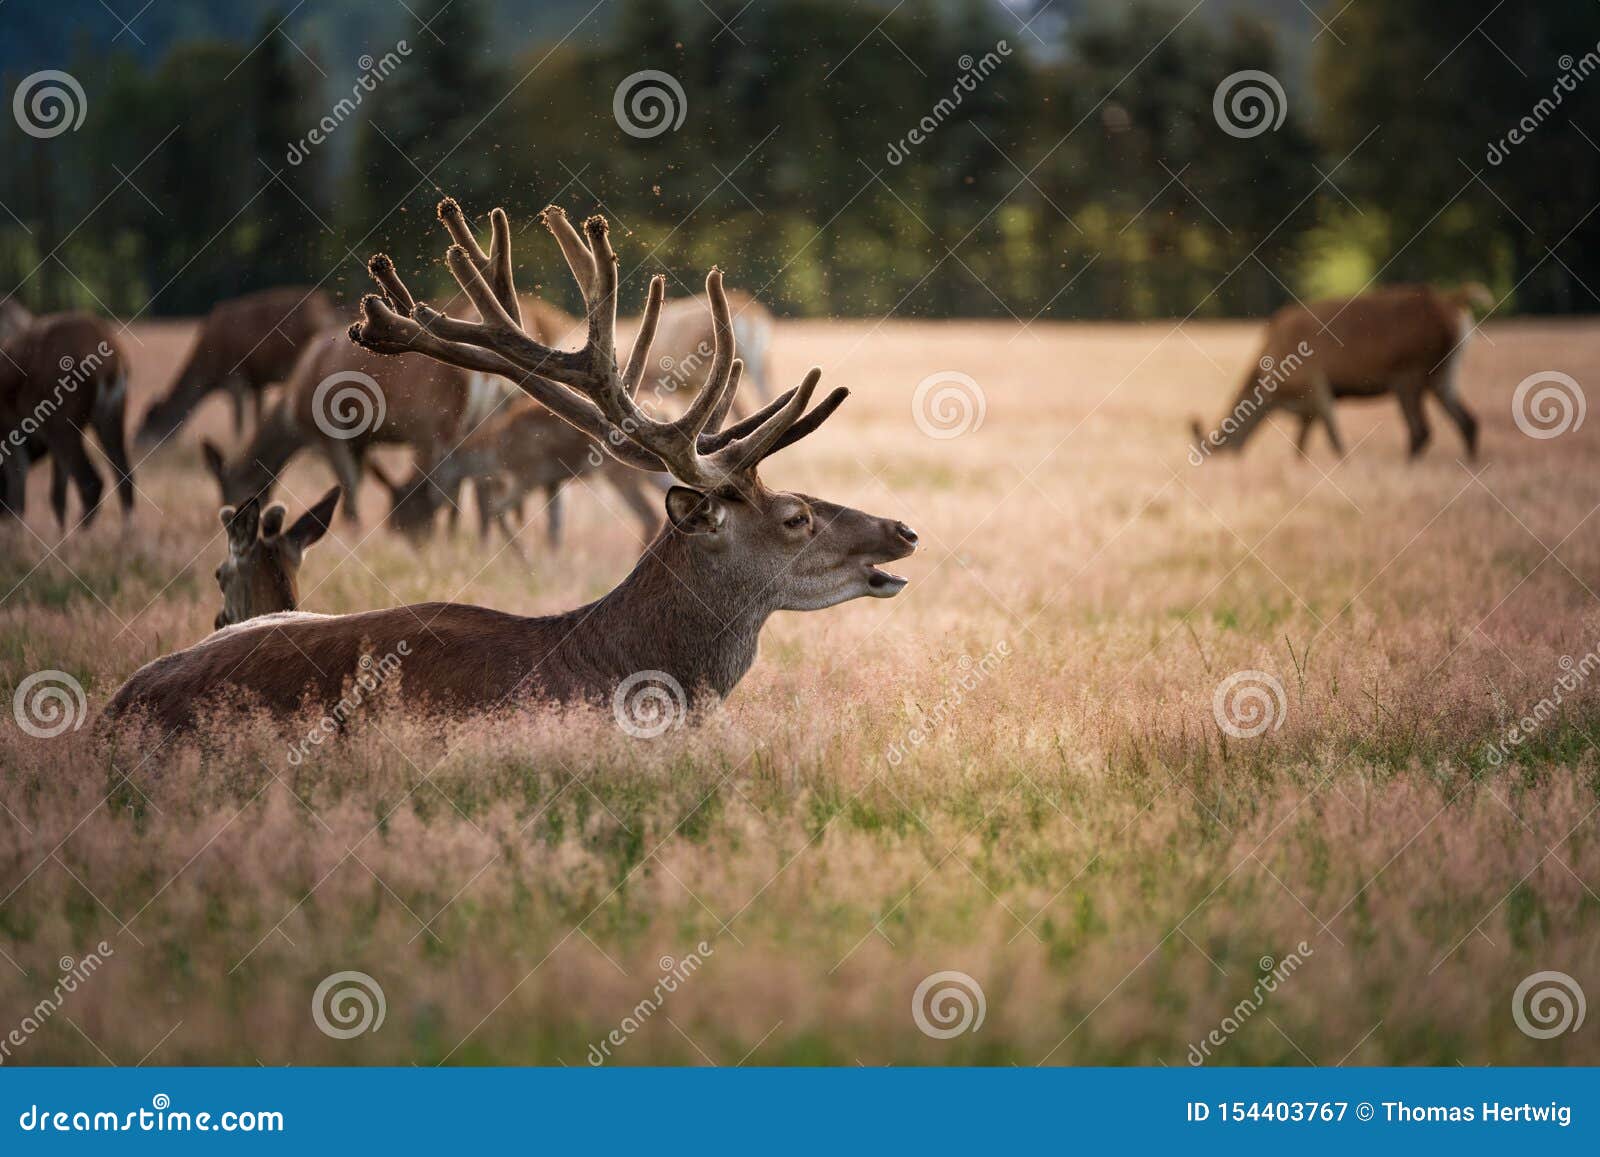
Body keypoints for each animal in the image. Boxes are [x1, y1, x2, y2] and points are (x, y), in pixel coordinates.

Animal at [0, 312, 132, 528]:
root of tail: (112, 363)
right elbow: (55, 495)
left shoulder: (10, 432)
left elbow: (19, 491)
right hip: (110, 416)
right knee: (125, 480)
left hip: (62, 425)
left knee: (91, 483)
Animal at [135, 287, 337, 449]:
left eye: (147, 423)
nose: (135, 443)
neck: (208, 371)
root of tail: (330, 314)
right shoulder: (257, 382)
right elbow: (257, 417)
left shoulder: (235, 378)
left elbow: (238, 423)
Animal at [1189, 283, 1493, 462]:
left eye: (1219, 447)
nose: (1228, 456)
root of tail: (1456, 304)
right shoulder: (1307, 401)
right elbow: (1301, 442)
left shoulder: (1314, 383)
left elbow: (1331, 435)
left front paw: (1342, 461)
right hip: (1443, 373)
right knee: (1468, 421)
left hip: (1410, 372)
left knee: (1421, 430)